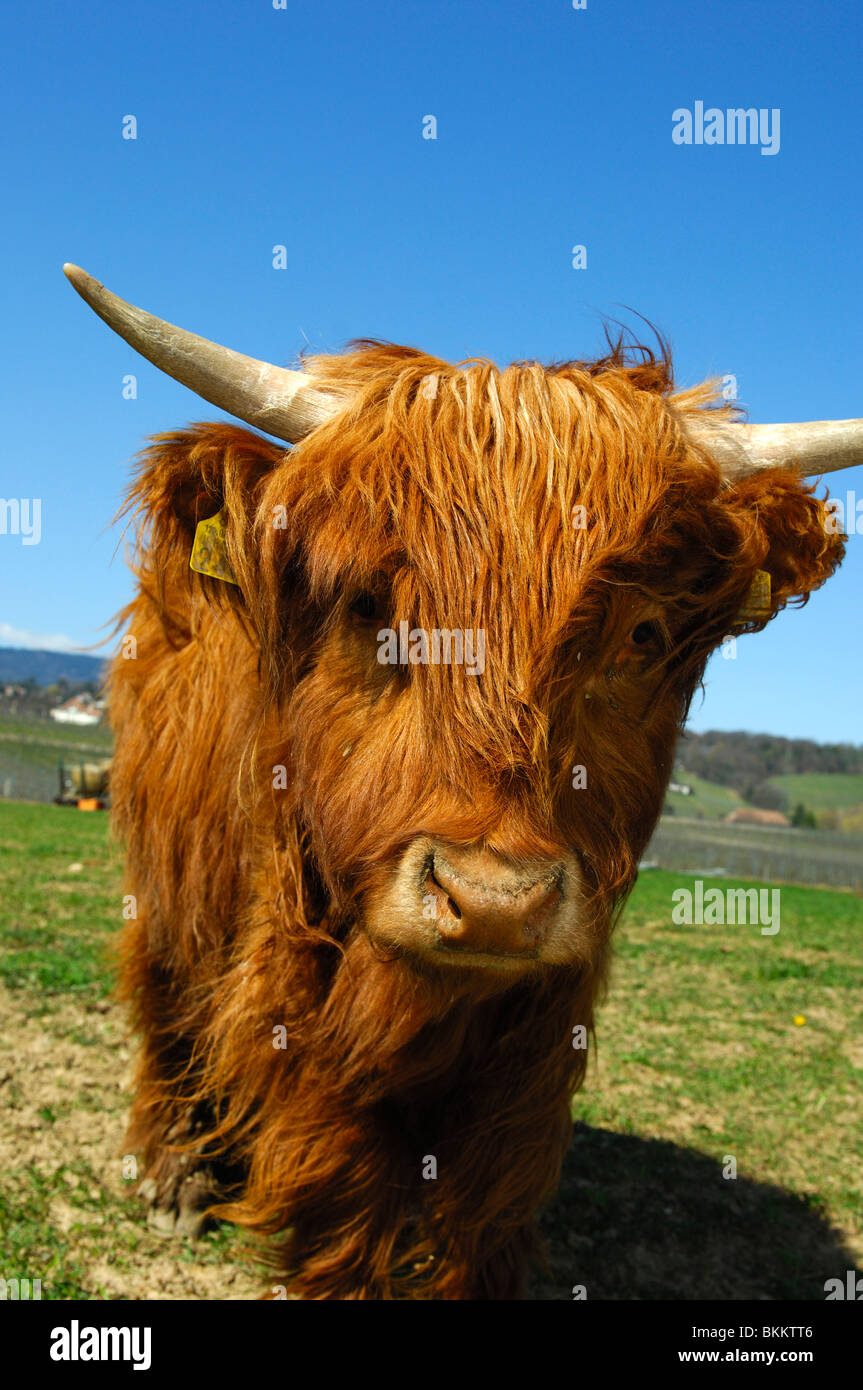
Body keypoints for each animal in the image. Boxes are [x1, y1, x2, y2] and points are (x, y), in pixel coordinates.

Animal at [64, 263, 858, 1299]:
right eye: (369, 607)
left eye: (640, 636)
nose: (490, 903)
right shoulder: (310, 1001)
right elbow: (339, 1199)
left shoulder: (541, 1030)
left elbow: (488, 1195)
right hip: (164, 873)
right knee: (161, 996)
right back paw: (173, 1172)